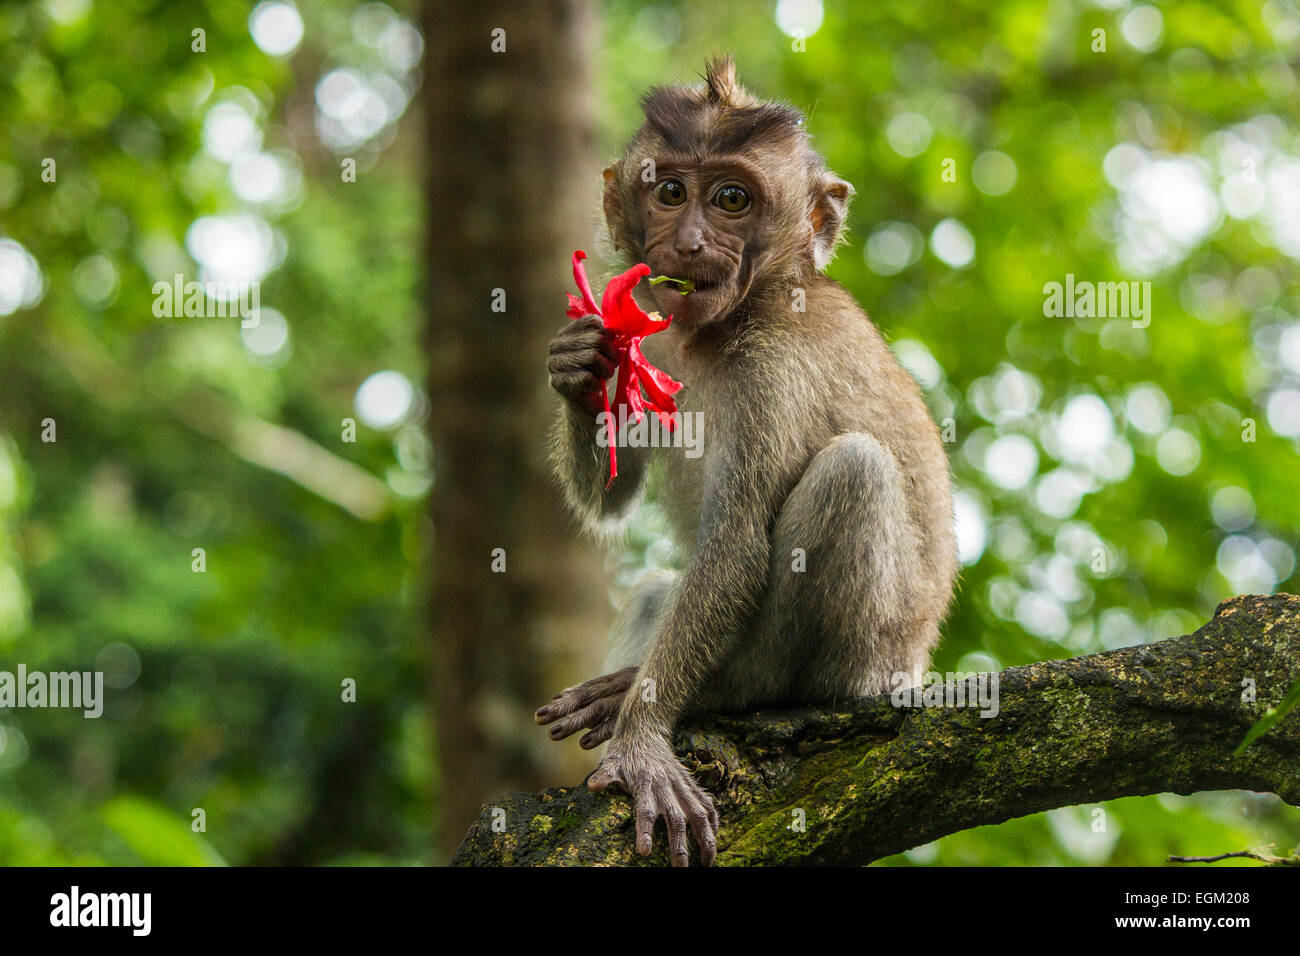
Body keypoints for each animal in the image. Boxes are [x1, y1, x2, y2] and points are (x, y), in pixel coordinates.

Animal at [536, 56, 958, 867]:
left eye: (732, 199)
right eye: (670, 192)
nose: (691, 244)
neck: (732, 317)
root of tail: (913, 670)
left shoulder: (776, 368)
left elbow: (734, 547)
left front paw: (643, 740)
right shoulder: (656, 339)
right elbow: (614, 497)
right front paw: (576, 365)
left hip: (861, 662)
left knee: (854, 469)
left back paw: (714, 693)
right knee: (654, 590)